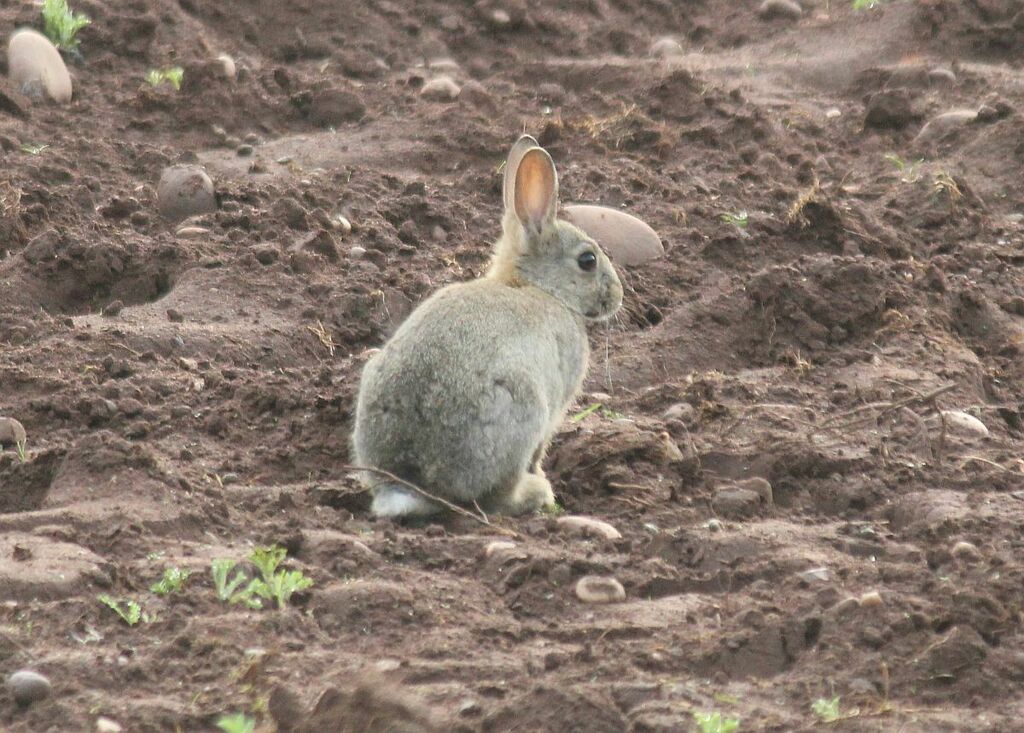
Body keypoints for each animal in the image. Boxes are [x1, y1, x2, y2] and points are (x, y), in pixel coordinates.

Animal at [351, 135, 623, 518]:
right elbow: (540, 453)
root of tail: (412, 483)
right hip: (522, 408)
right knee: (497, 496)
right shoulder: (553, 407)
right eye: (588, 260)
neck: (536, 287)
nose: (618, 296)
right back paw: (538, 493)